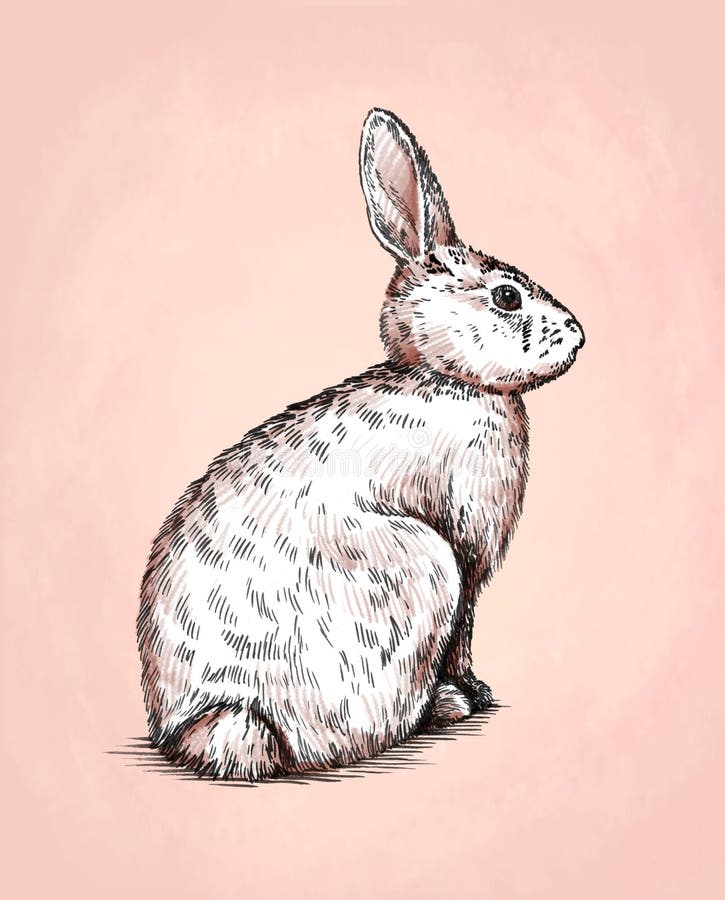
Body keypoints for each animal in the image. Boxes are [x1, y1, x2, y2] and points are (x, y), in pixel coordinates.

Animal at [137, 108, 585, 781]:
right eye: (507, 296)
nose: (578, 335)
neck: (447, 378)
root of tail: (221, 721)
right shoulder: (466, 553)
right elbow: (463, 635)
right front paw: (473, 692)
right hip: (419, 571)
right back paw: (440, 707)